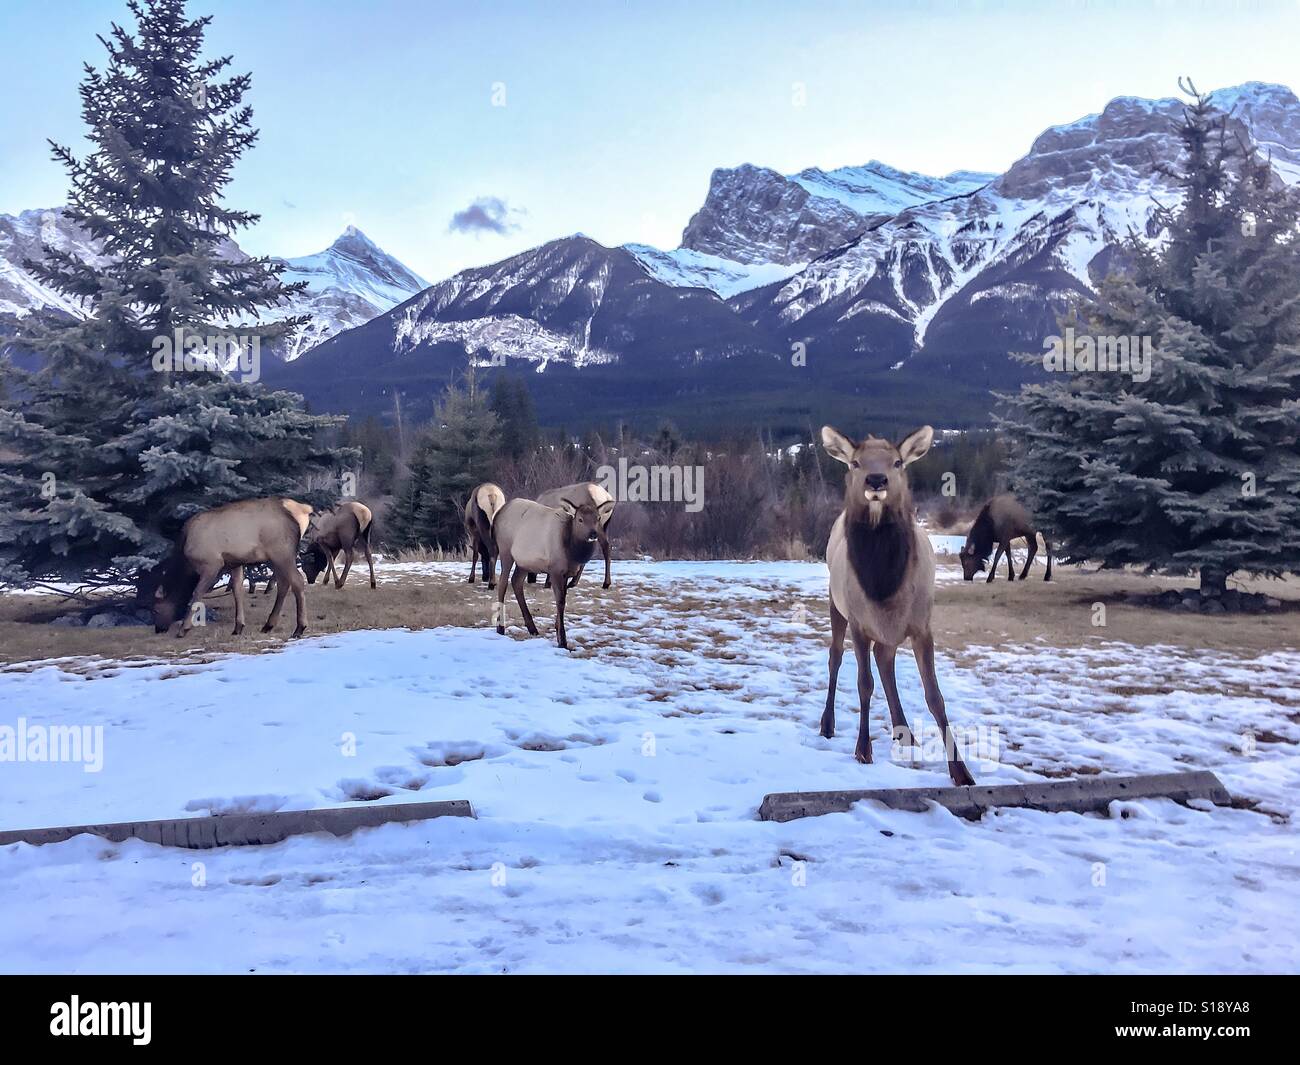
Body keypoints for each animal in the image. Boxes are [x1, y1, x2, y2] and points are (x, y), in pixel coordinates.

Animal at [147, 497, 311, 638]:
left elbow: (197, 593)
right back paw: (268, 625)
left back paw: (299, 628)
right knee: (283, 584)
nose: (158, 629)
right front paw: (238, 627)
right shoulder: (235, 563)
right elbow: (237, 591)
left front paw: (183, 629)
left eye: (155, 609)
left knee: (297, 581)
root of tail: (302, 510)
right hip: (275, 557)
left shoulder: (212, 563)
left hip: (281, 551)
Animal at [492, 494, 613, 650]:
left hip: (524, 562)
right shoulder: (555, 570)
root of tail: (498, 514)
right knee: (502, 584)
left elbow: (563, 600)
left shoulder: (566, 573)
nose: (593, 534)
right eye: (580, 519)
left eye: (598, 518)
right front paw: (562, 640)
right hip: (505, 550)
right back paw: (500, 628)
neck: (572, 552)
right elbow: (560, 601)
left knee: (516, 581)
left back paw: (532, 628)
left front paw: (557, 630)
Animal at [819, 425, 975, 787]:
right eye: (855, 462)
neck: (884, 587)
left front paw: (961, 771)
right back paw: (827, 724)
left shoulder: (922, 625)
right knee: (835, 657)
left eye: (898, 462)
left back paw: (904, 730)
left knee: (884, 657)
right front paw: (863, 750)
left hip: (887, 631)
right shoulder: (859, 623)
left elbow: (935, 696)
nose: (876, 480)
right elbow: (864, 685)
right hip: (835, 602)